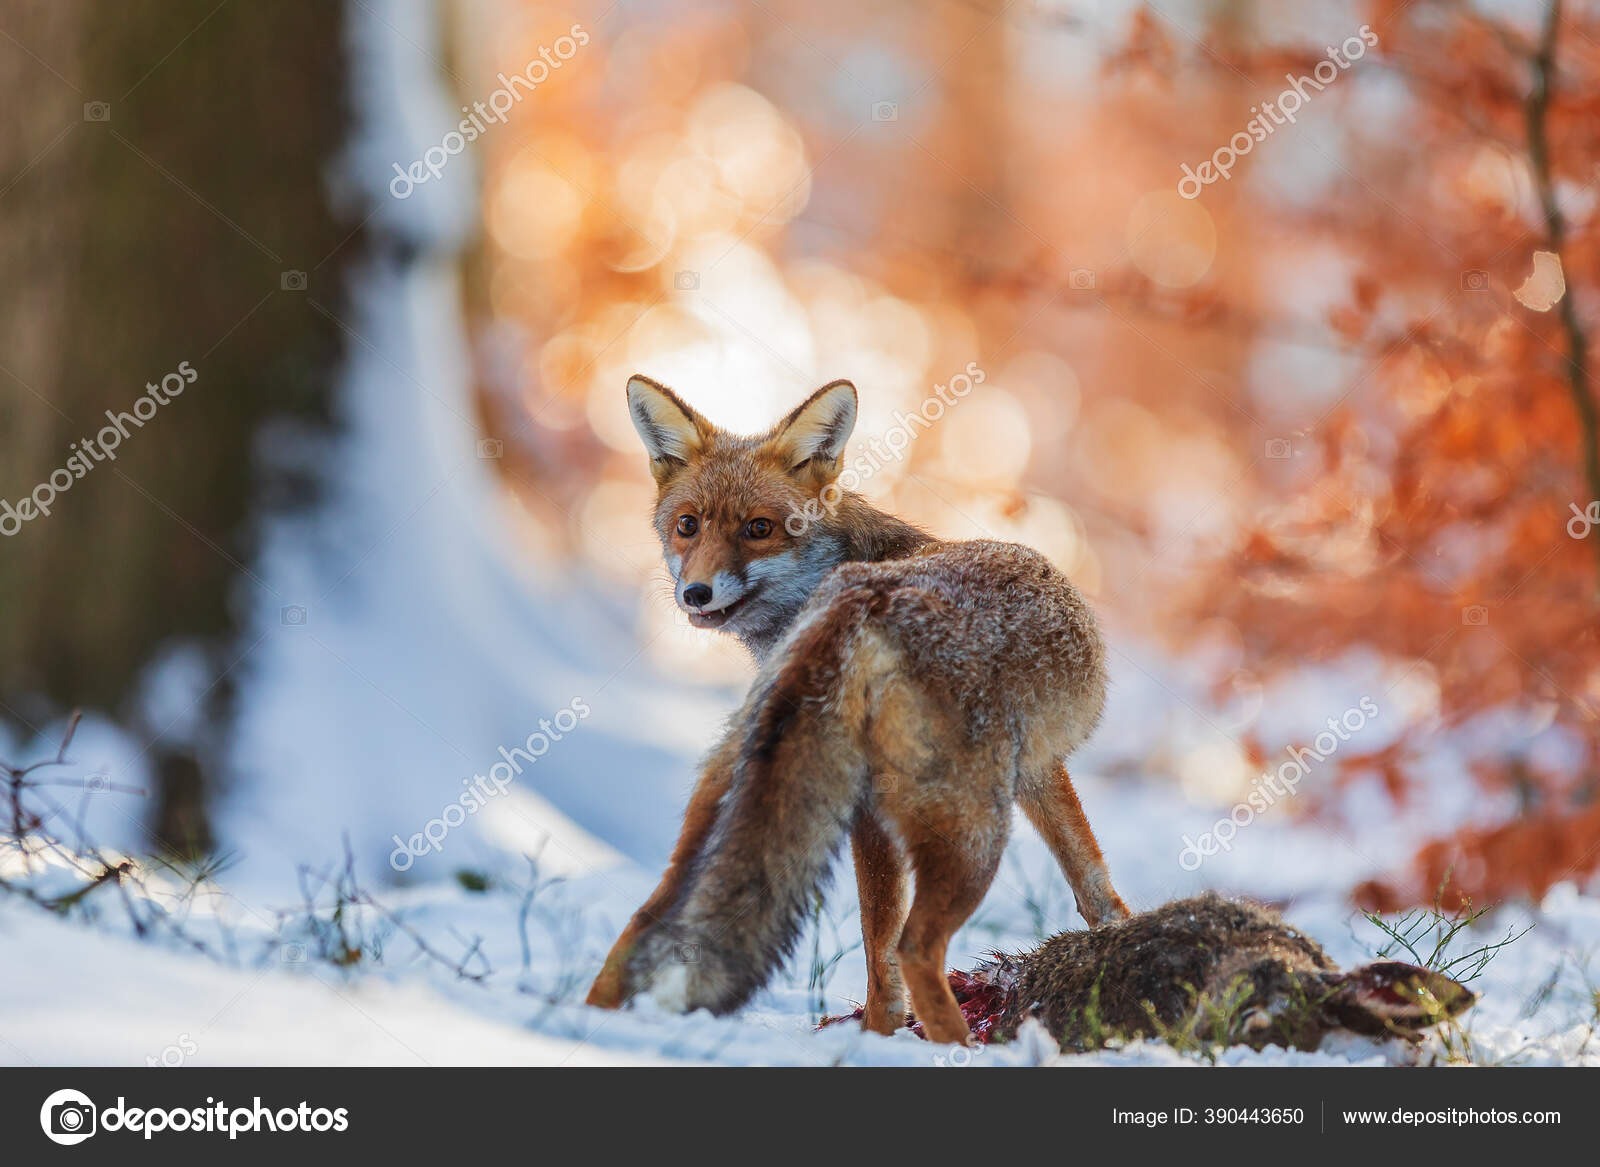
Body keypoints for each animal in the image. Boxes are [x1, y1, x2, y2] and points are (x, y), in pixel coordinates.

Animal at [584, 373, 1130, 1044]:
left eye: (759, 528)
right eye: (688, 525)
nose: (696, 593)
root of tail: (860, 600)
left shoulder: (1010, 774)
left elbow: (1082, 878)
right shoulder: (1023, 774)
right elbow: (1086, 871)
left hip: (725, 797)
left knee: (647, 915)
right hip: (971, 827)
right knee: (916, 946)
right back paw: (958, 1046)